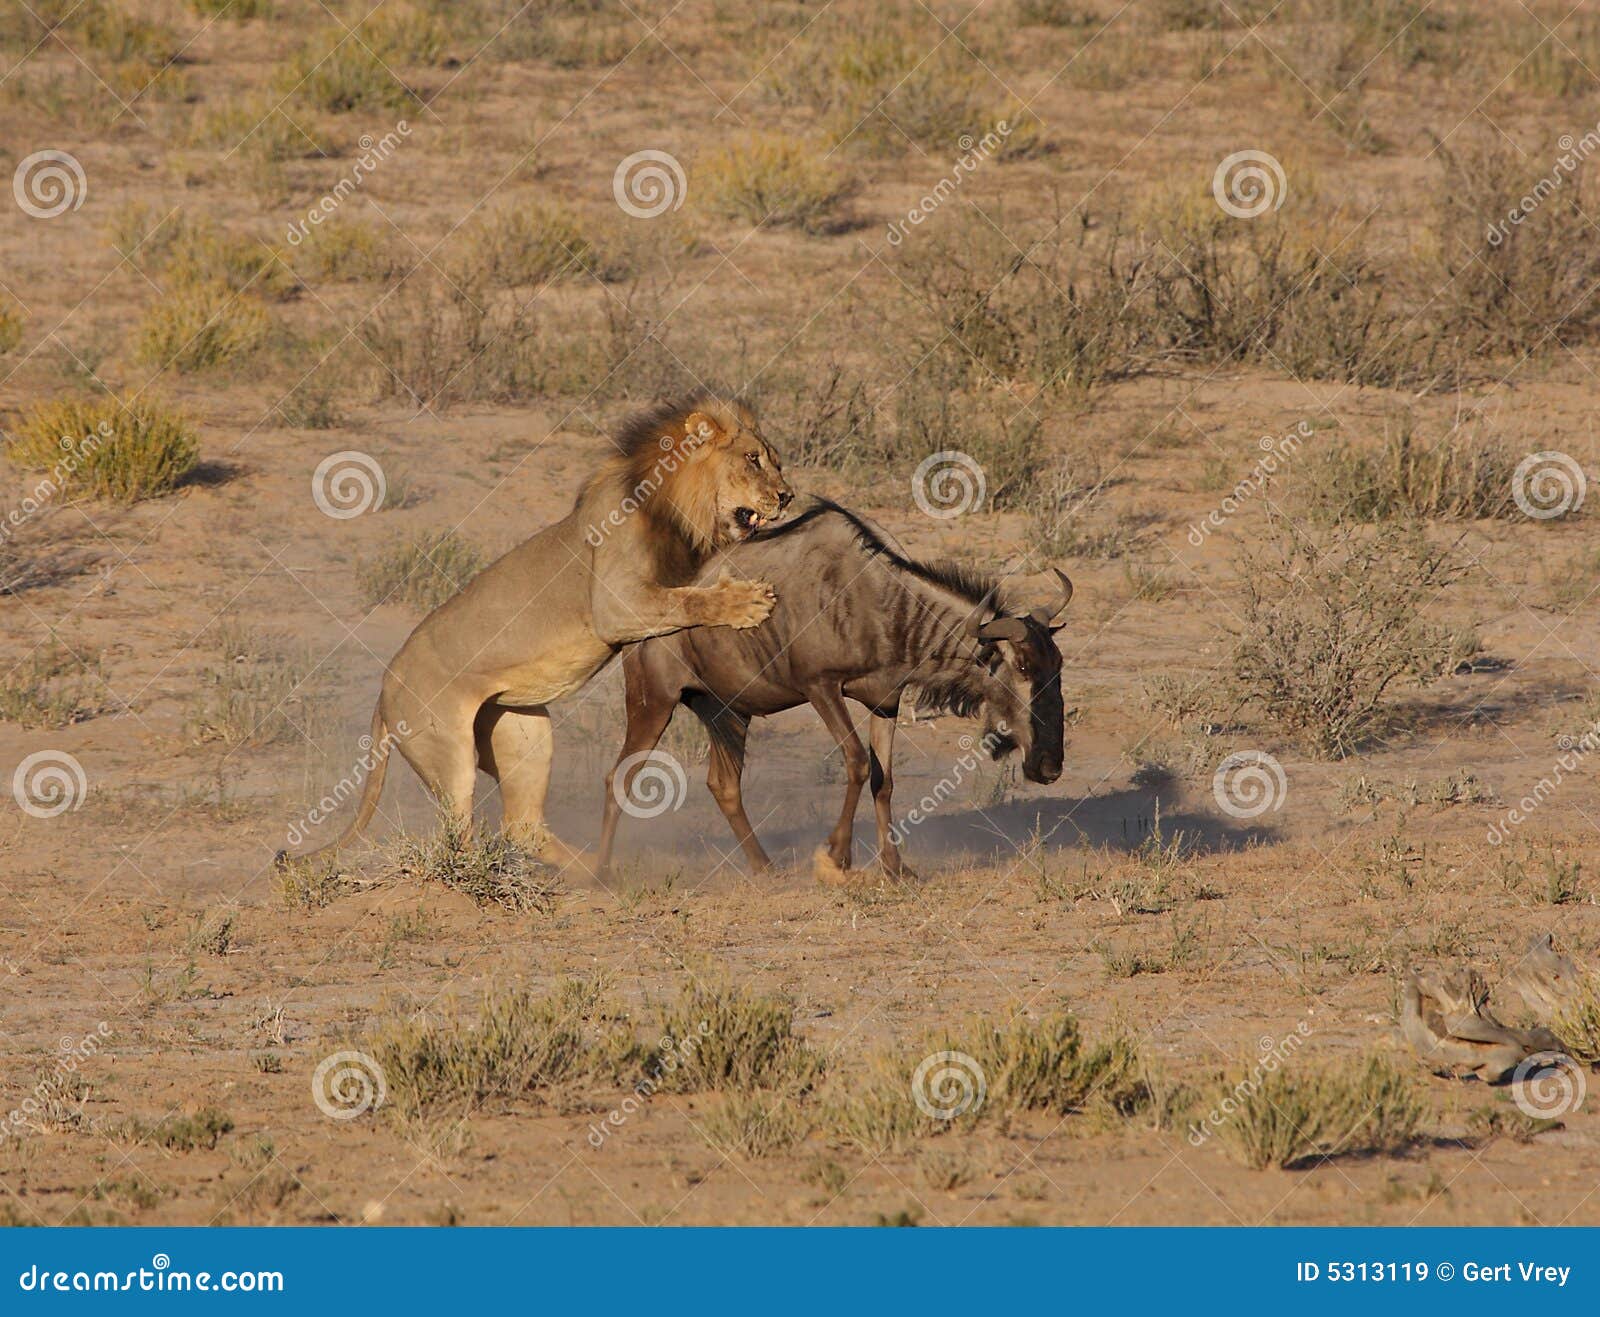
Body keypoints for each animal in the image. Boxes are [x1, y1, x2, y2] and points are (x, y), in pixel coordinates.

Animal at [285, 394, 793, 870]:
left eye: (776, 461)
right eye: (753, 459)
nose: (788, 496)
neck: (676, 505)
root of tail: (384, 690)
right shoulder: (617, 601)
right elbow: (686, 599)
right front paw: (746, 602)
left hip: (523, 731)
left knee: (523, 826)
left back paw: (595, 873)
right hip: (448, 754)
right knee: (457, 836)